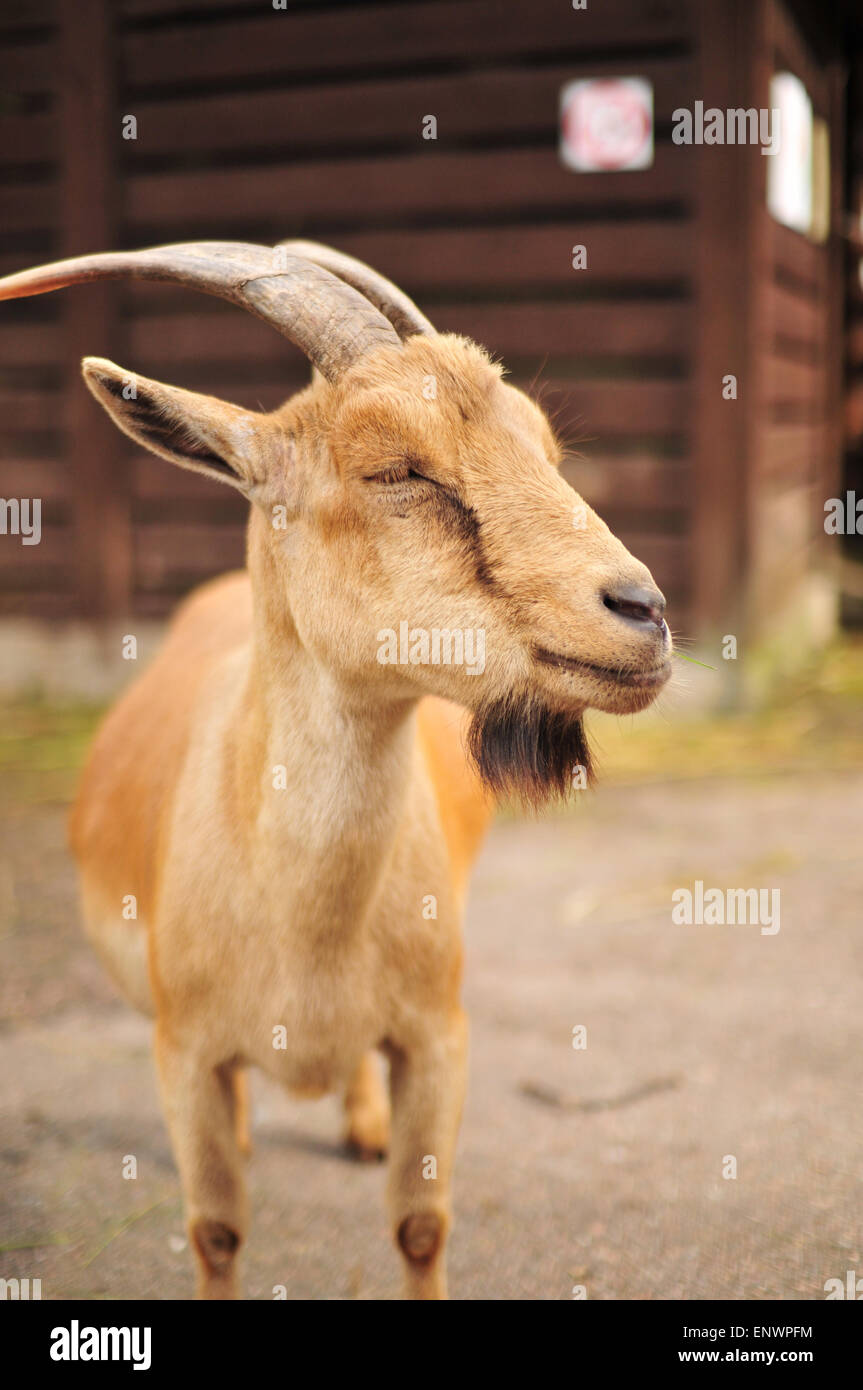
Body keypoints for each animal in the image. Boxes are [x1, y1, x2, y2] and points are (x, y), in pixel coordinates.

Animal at [0, 241, 671, 1299]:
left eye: (544, 448)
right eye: (396, 467)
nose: (641, 611)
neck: (300, 925)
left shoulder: (437, 1036)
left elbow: (421, 1223)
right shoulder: (183, 1053)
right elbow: (216, 1228)